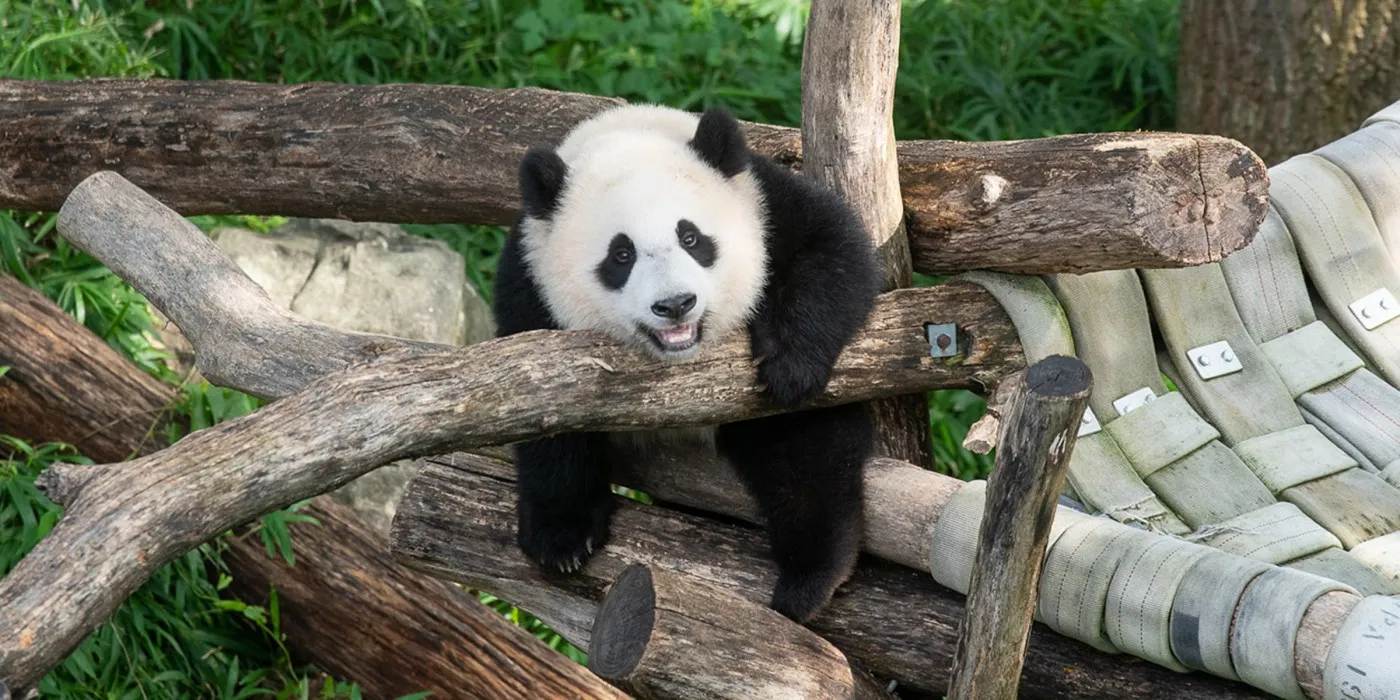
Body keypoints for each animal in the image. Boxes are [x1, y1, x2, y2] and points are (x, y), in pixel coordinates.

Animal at [492, 103, 880, 623]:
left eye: (692, 237)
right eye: (621, 254)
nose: (675, 304)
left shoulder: (765, 203)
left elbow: (836, 252)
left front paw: (788, 363)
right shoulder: (530, 284)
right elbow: (543, 412)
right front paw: (562, 538)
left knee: (803, 452)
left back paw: (811, 575)